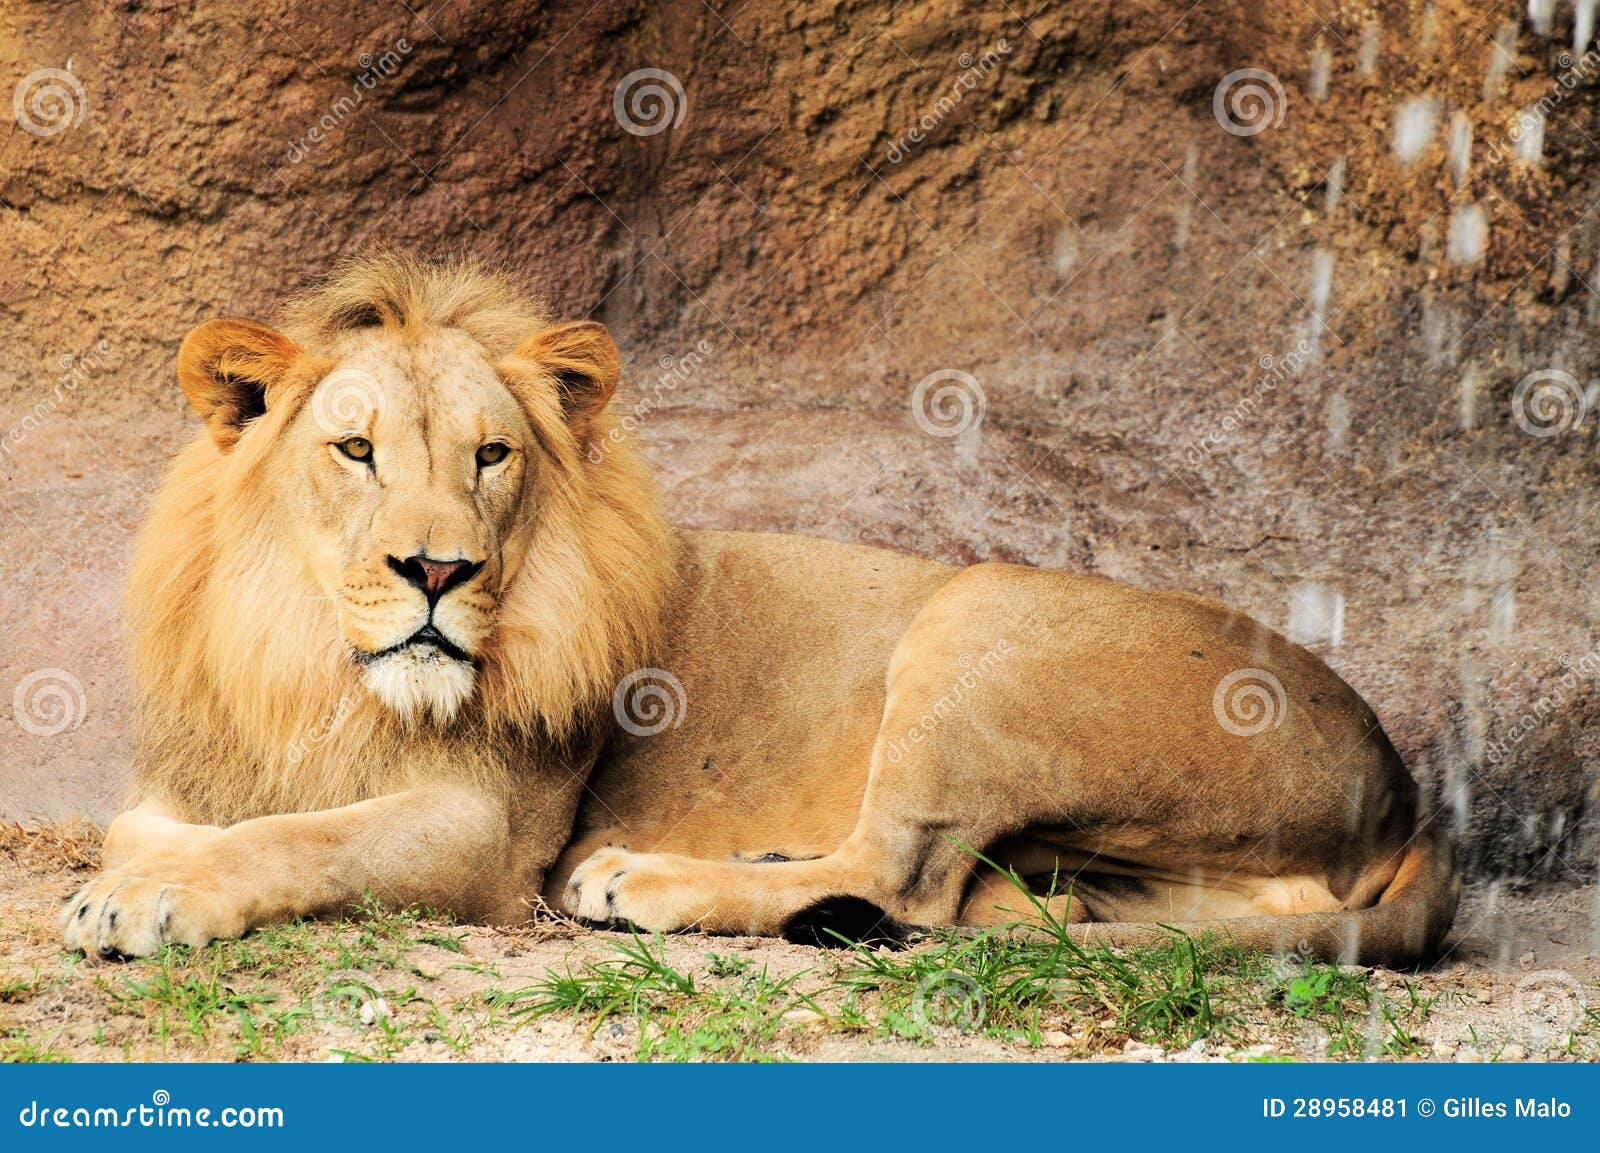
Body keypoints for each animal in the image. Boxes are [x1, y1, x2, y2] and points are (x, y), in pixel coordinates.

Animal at [61, 255, 1458, 966]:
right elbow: (170, 826)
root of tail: (1408, 792)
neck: (313, 659)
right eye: (354, 451)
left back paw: (649, 881)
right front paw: (139, 871)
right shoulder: (186, 776)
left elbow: (308, 839)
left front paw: (147, 901)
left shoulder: (492, 829)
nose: (437, 573)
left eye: (490, 457)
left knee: (907, 878)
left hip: (979, 621)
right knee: (1000, 903)